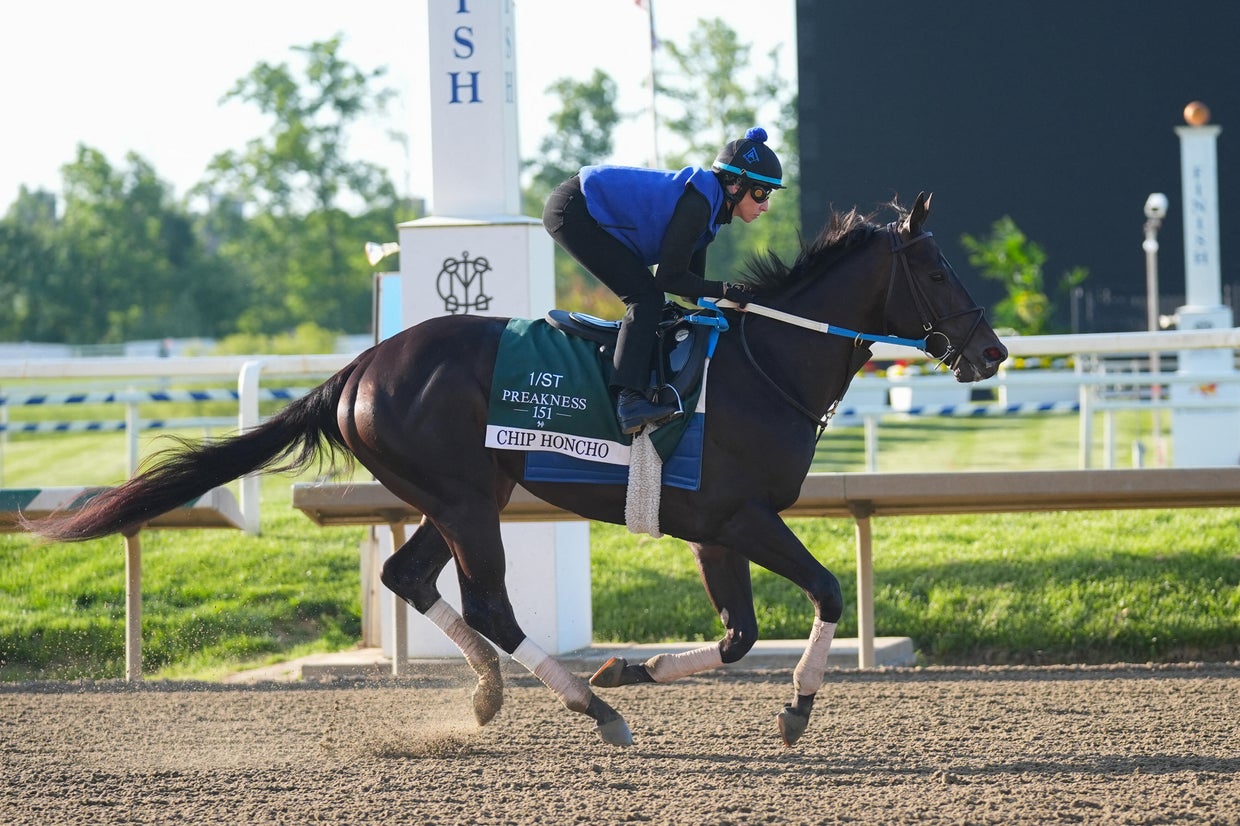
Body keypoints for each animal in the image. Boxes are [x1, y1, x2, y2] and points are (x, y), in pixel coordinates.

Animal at [24, 192, 1007, 748]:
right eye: (933, 267)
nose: (992, 352)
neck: (766, 362)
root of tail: (361, 367)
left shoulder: (711, 529)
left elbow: (737, 632)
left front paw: (633, 671)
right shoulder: (738, 517)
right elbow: (827, 592)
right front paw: (794, 706)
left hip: (460, 494)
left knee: (408, 574)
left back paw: (498, 695)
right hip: (467, 499)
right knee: (488, 602)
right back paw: (587, 708)